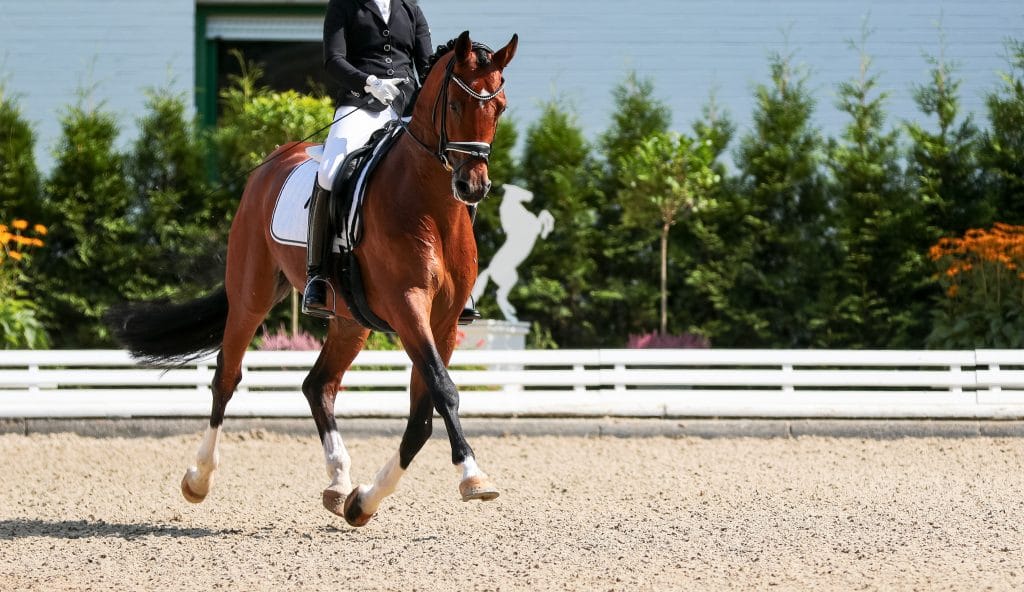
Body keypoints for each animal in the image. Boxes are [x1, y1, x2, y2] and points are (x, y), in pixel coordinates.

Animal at [107, 31, 518, 528]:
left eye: (500, 108)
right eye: (455, 104)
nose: (472, 187)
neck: (431, 207)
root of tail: (272, 161)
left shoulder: (445, 321)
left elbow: (423, 413)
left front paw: (364, 501)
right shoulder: (408, 305)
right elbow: (443, 391)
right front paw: (473, 476)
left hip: (350, 321)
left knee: (317, 384)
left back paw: (340, 483)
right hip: (251, 295)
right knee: (227, 376)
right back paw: (198, 479)